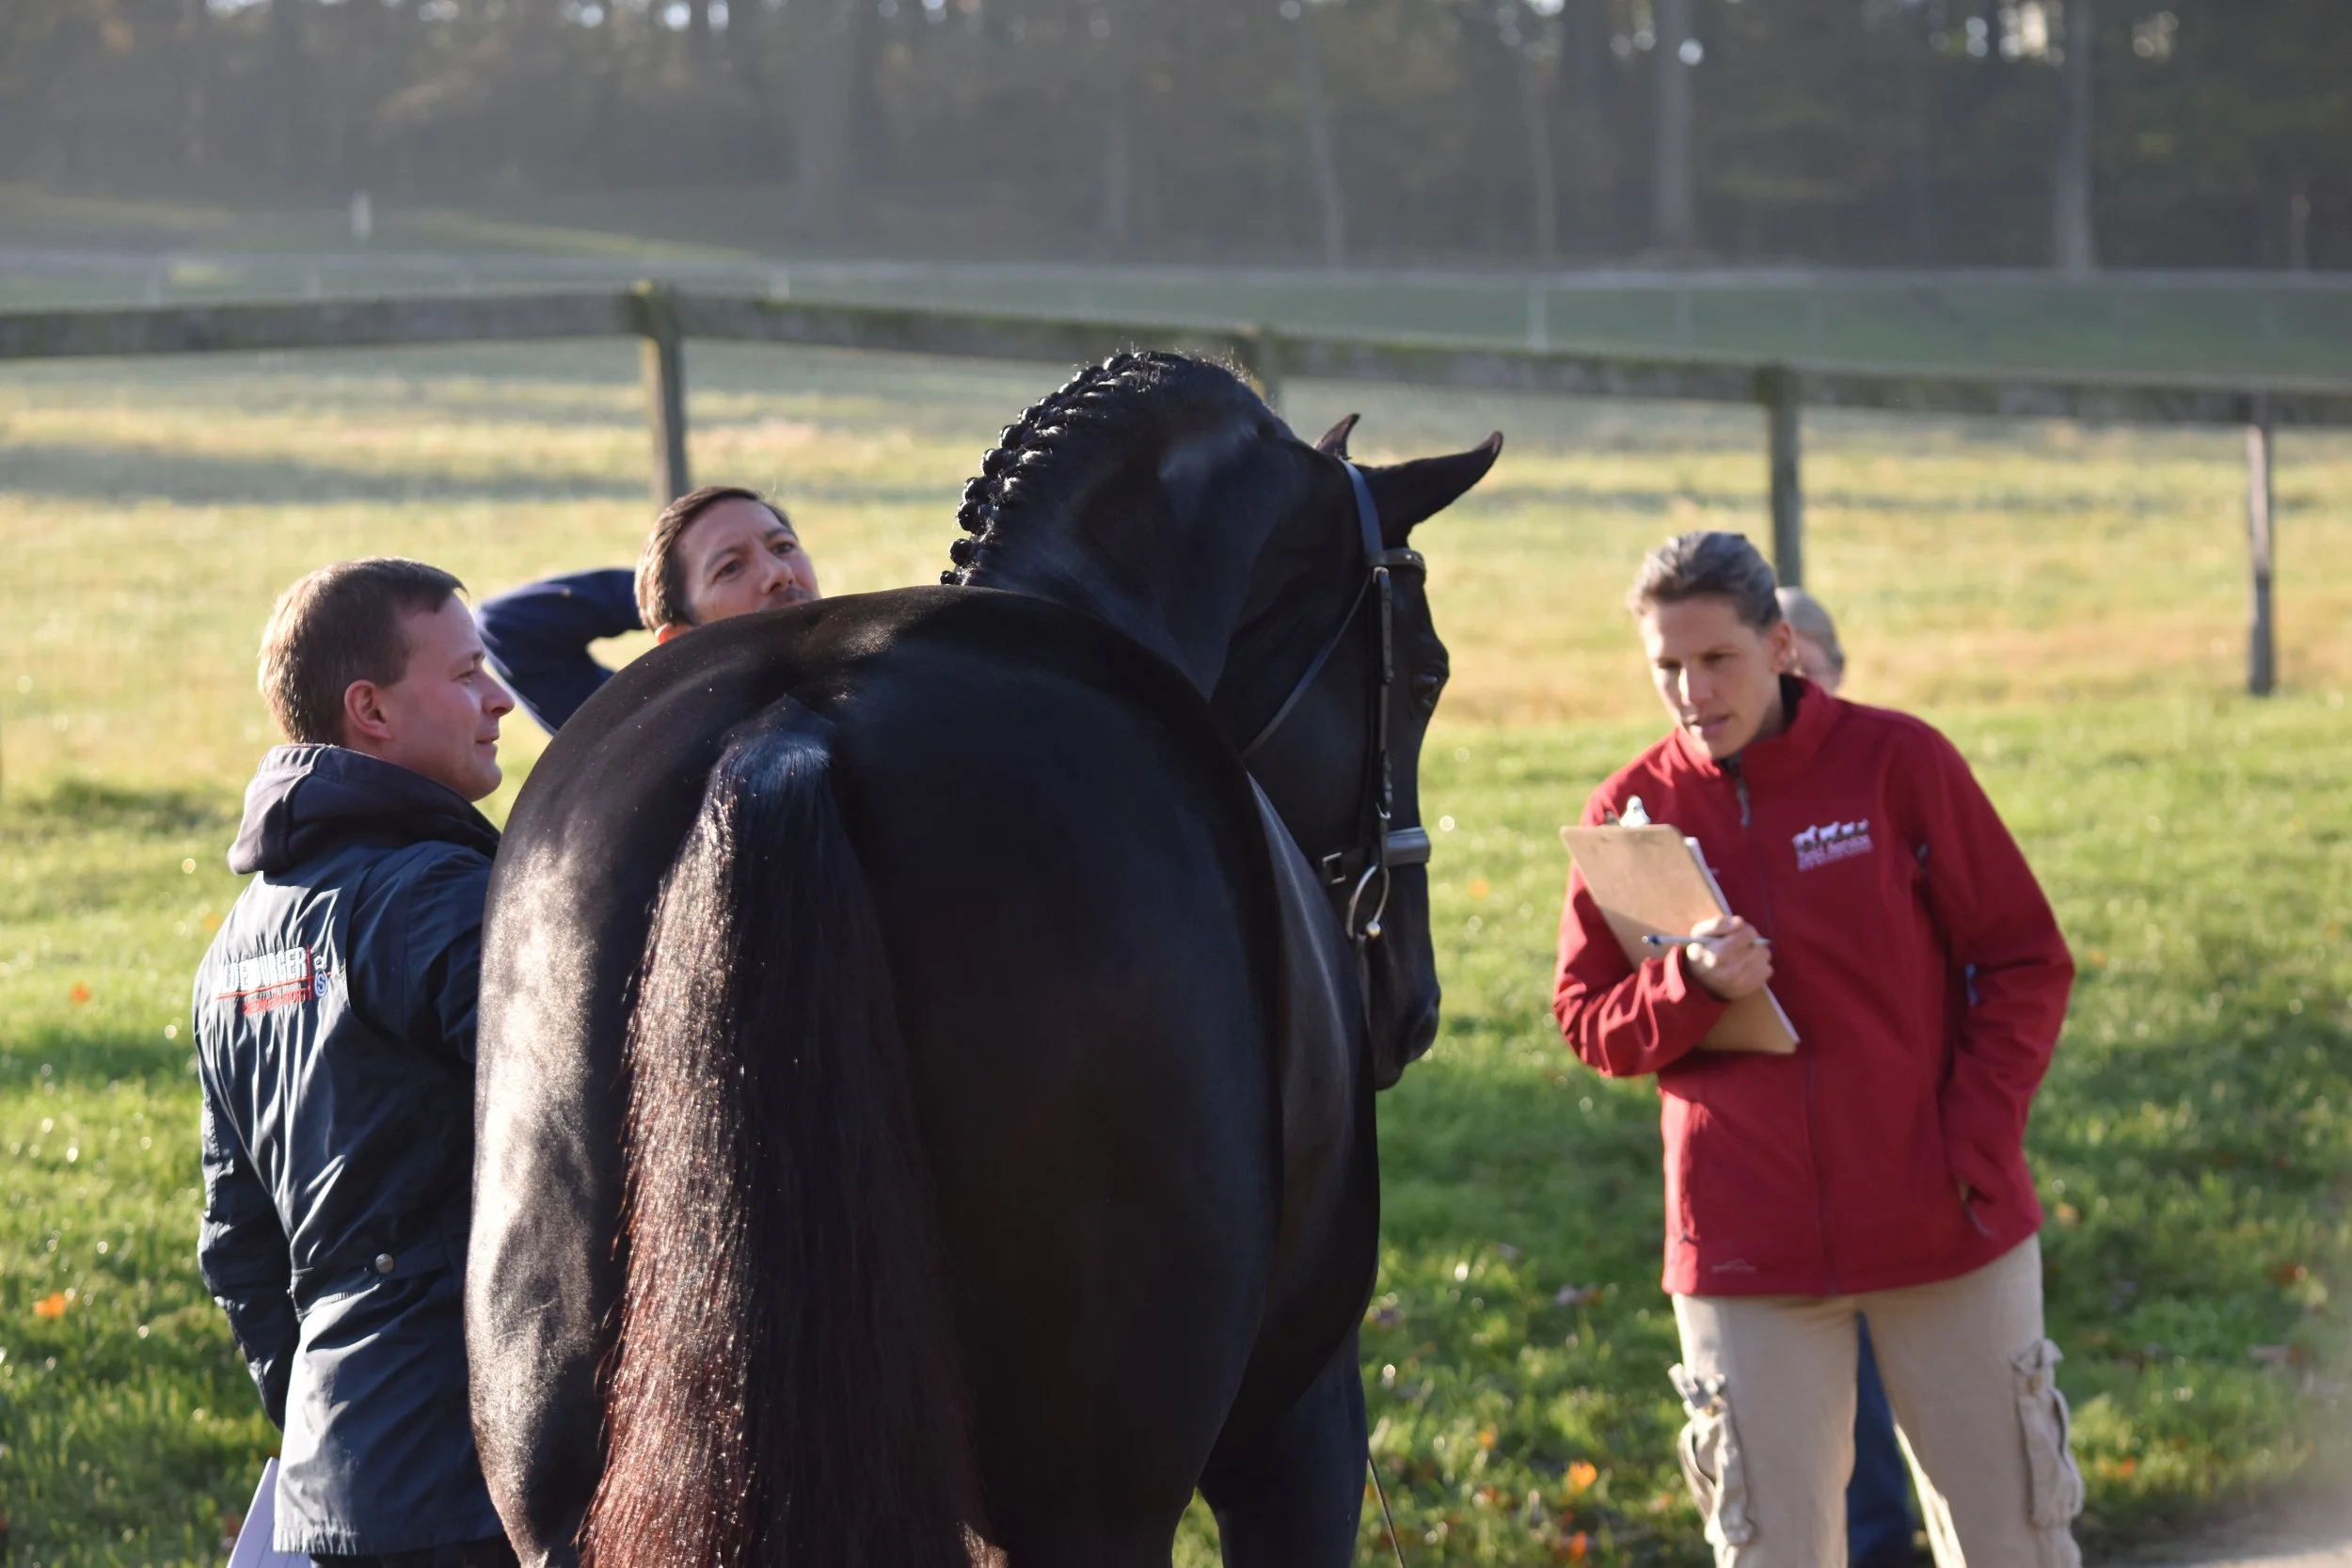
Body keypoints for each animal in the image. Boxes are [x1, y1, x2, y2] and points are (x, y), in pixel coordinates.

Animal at [465, 351, 1500, 1567]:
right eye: (1426, 675)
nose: (1412, 1005)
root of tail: (784, 740)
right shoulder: (1299, 1421)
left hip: (554, 1476)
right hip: (1097, 1491)